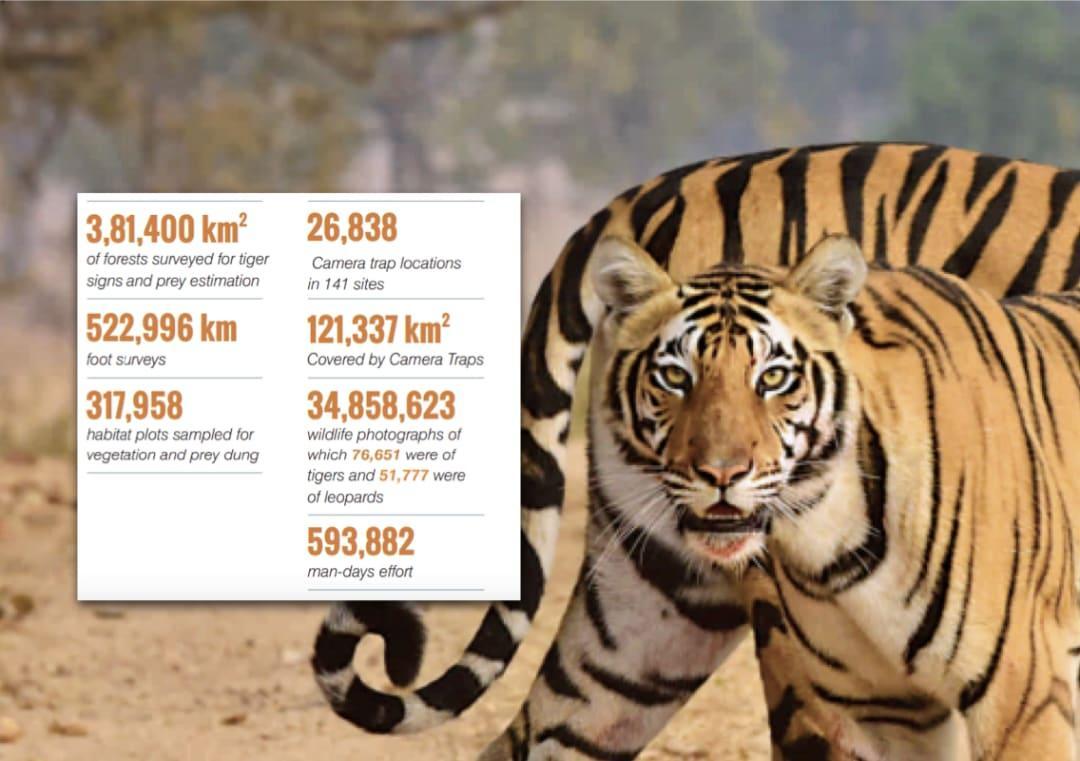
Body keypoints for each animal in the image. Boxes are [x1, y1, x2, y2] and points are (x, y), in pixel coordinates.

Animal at [310, 142, 1080, 757]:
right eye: (676, 376)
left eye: (773, 378)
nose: (720, 472)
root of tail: (652, 190)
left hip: (647, 613)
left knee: (540, 731)